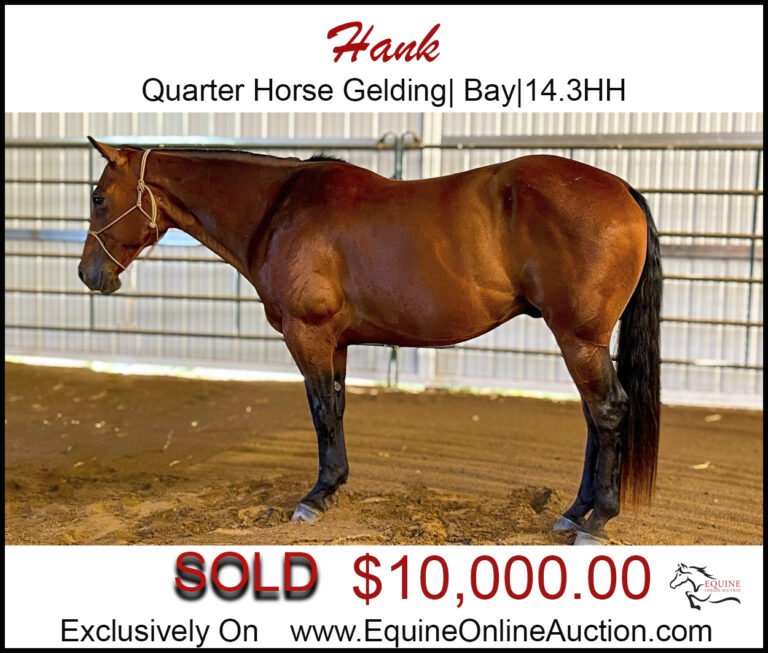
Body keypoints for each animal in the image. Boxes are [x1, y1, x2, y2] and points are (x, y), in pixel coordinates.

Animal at [78, 137, 662, 545]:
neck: (279, 210)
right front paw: (332, 489)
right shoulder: (335, 342)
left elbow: (320, 410)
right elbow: (336, 408)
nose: (89, 275)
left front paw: (315, 498)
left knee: (607, 412)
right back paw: (573, 513)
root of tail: (622, 190)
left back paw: (597, 521)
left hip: (579, 338)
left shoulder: (308, 335)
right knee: (593, 417)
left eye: (99, 197)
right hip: (582, 341)